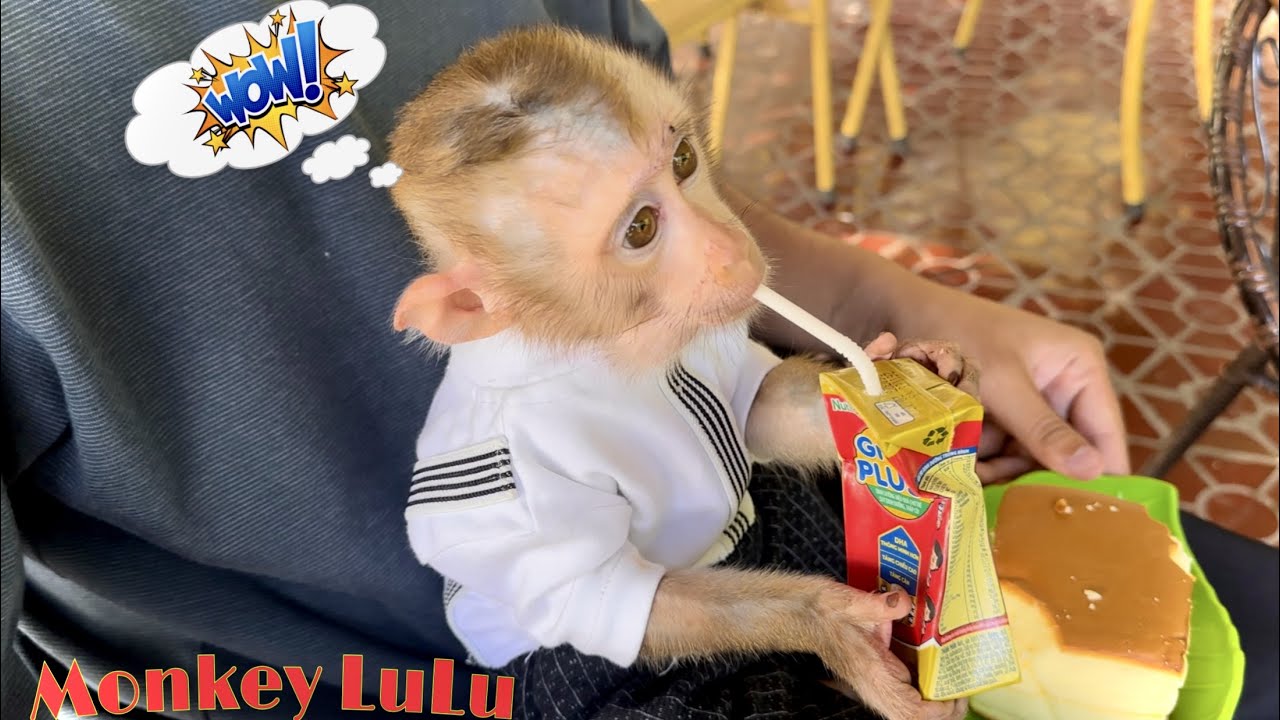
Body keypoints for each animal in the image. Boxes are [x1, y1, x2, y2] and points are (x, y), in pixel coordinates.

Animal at [386, 26, 977, 720]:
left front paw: (916, 369)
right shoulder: (517, 497)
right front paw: (832, 626)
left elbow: (761, 415)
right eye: (641, 227)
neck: (612, 354)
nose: (731, 252)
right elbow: (620, 602)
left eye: (684, 160)